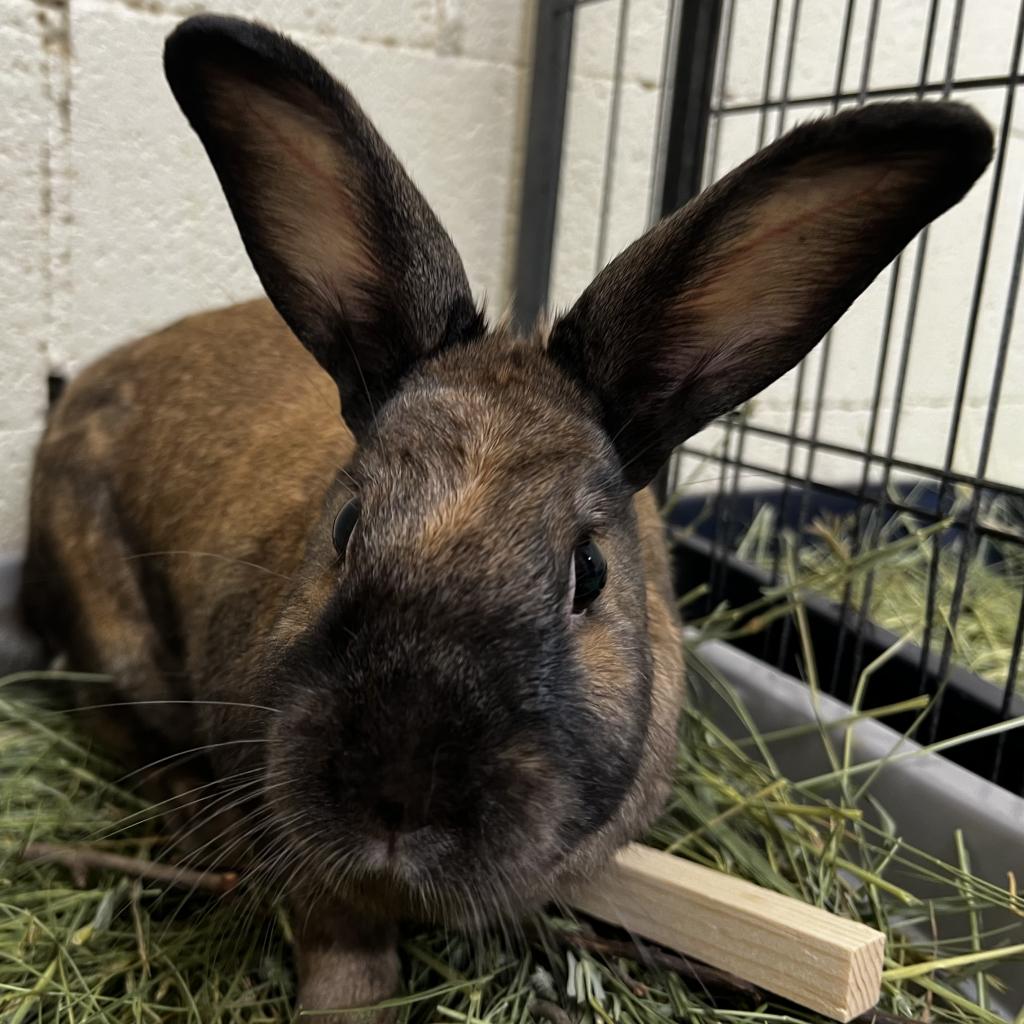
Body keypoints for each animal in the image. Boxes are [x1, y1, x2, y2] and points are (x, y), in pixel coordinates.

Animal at [19, 12, 993, 1017]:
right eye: (345, 527)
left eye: (587, 573)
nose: (398, 792)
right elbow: (340, 934)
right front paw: (346, 1004)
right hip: (113, 632)